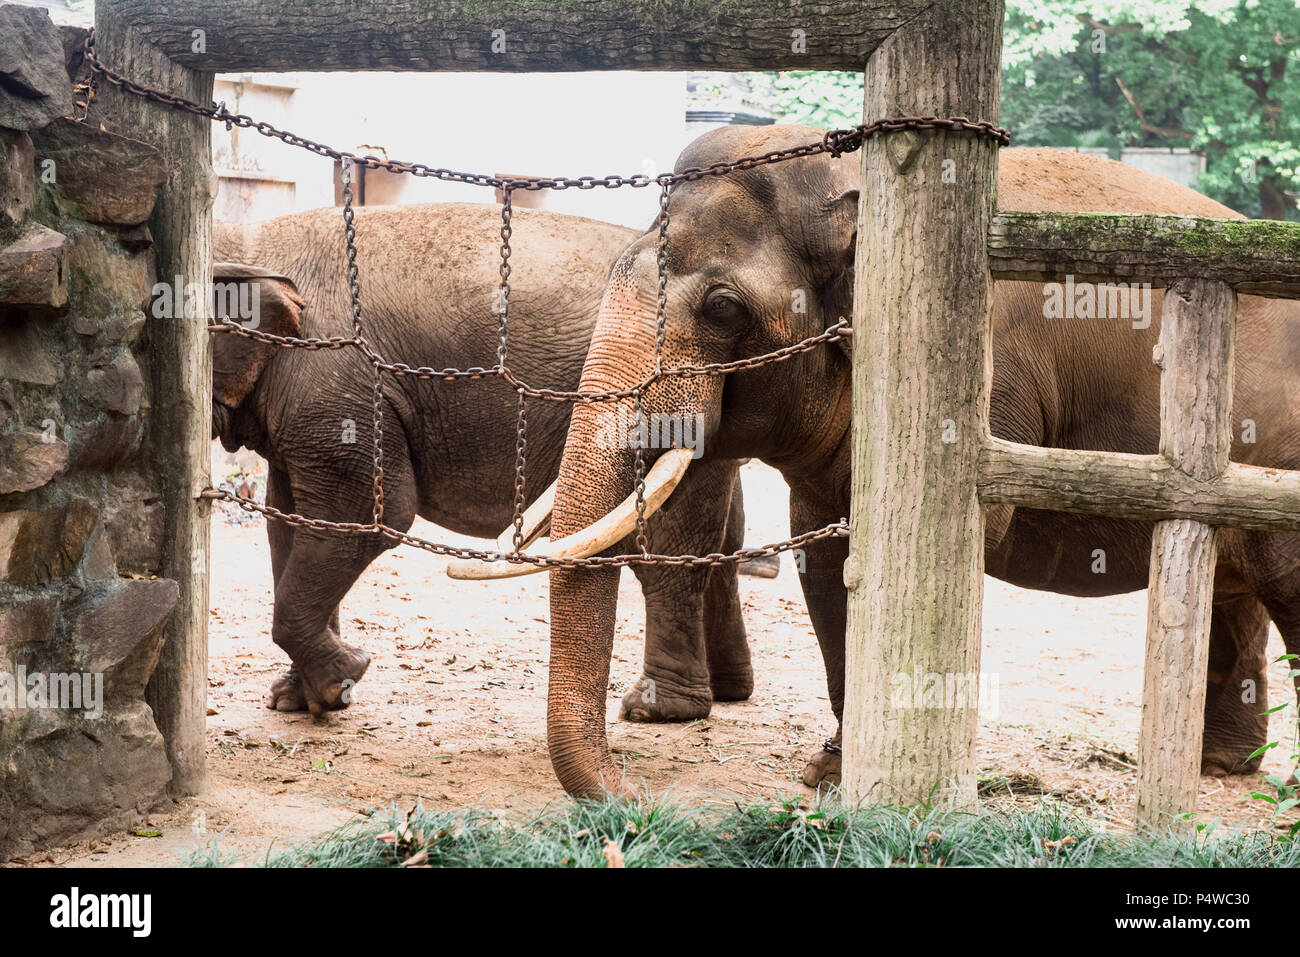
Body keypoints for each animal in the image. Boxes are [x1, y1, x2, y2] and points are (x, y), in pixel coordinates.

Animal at [210, 202, 757, 718]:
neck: (249, 241)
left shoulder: (335, 381)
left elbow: (367, 515)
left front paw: (344, 678)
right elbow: (289, 525)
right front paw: (298, 700)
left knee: (670, 548)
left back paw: (659, 710)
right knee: (723, 537)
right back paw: (728, 692)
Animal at [491, 125, 1300, 798]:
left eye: (722, 307)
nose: (629, 789)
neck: (849, 171)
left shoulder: (979, 380)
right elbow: (827, 557)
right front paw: (830, 772)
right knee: (1235, 592)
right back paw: (1221, 766)